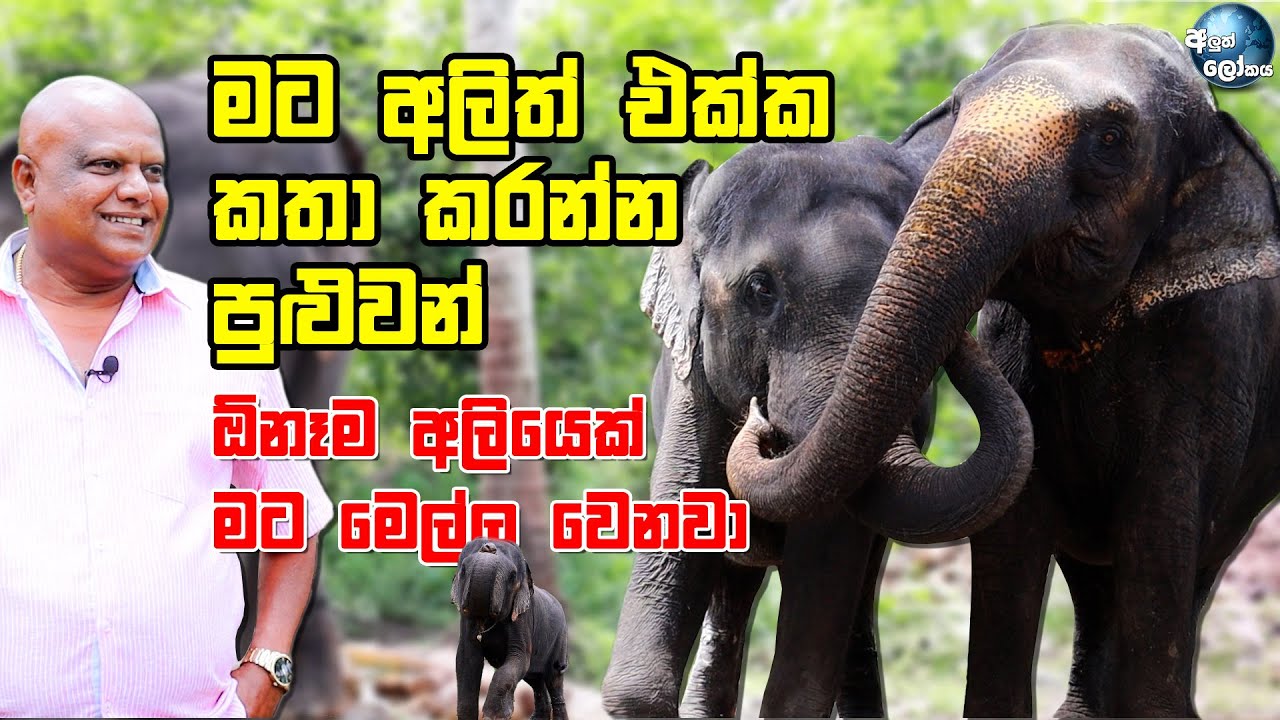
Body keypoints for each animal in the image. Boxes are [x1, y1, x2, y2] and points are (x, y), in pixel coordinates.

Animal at [452, 538, 570, 720]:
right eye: (463, 569)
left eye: (512, 576)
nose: (489, 547)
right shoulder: (466, 620)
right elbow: (467, 660)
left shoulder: (523, 618)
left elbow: (518, 657)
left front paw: (494, 716)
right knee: (535, 680)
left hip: (560, 638)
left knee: (554, 677)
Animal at [727, 22, 1280, 718]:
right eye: (958, 108)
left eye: (1112, 139)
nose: (761, 418)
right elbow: (1012, 527)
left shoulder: (1211, 345)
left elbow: (1161, 523)